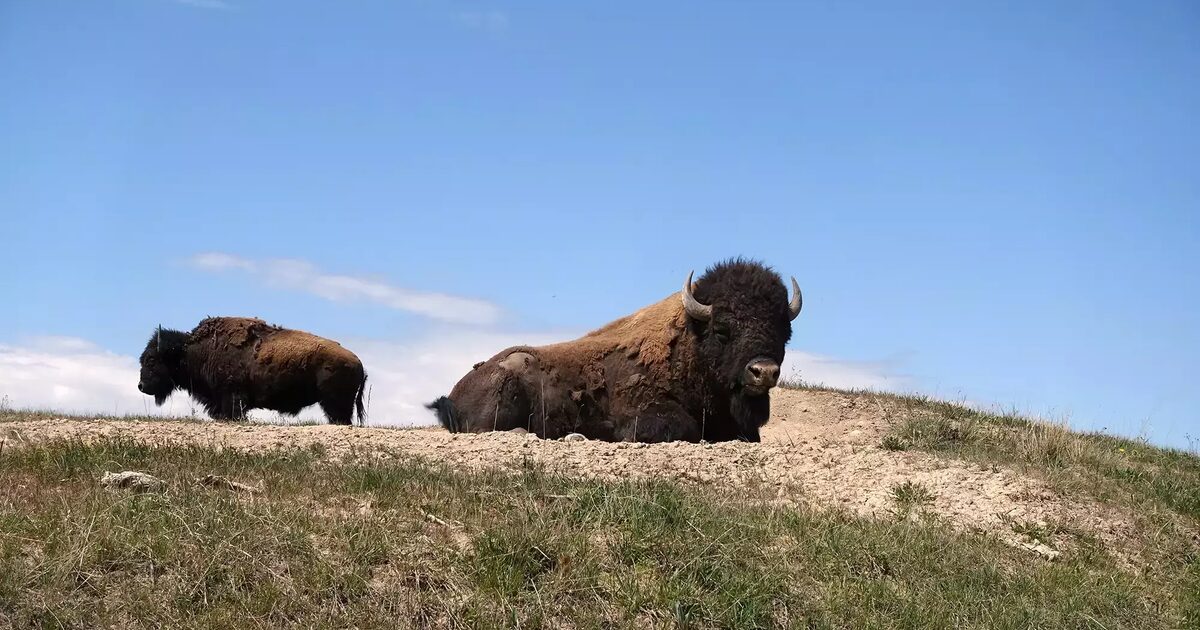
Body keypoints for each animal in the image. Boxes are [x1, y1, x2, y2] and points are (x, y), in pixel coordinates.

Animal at [427, 259, 801, 442]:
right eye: (723, 329)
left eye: (784, 332)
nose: (764, 371)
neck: (690, 345)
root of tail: (455, 391)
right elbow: (684, 430)